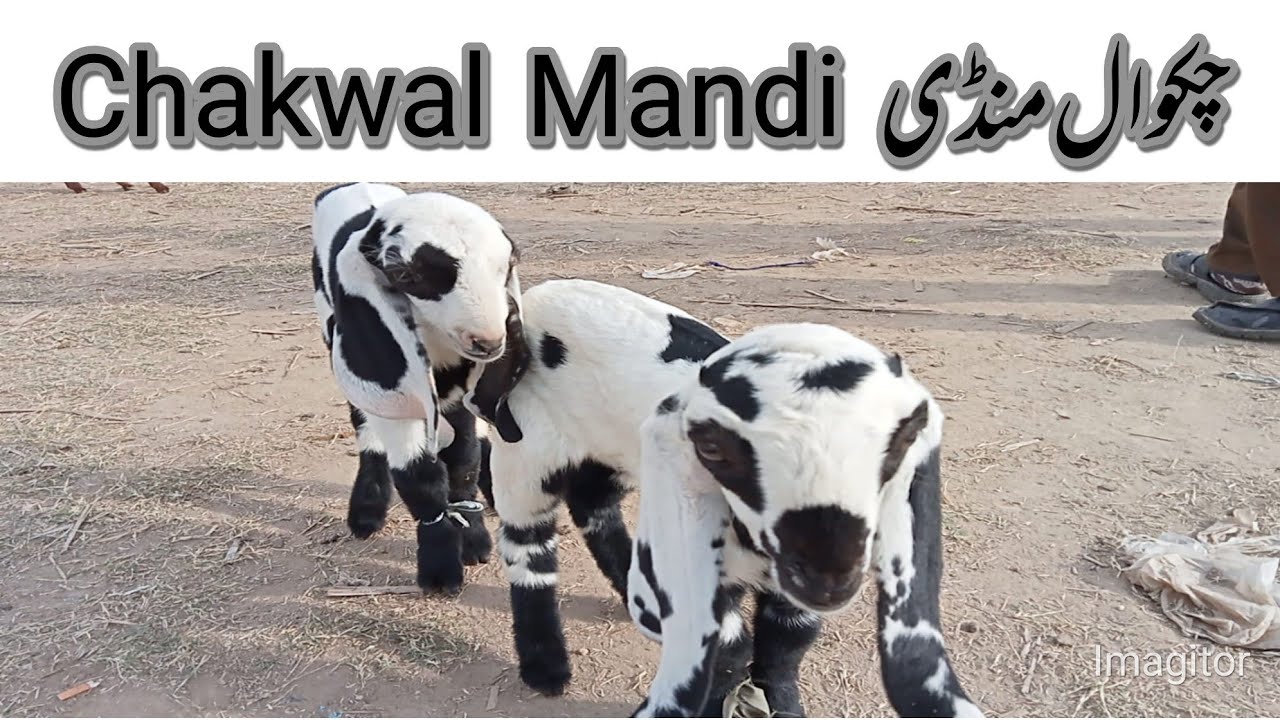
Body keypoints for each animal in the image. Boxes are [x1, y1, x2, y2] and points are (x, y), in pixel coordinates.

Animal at [311, 181, 522, 596]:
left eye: (509, 263)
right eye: (405, 275)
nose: (489, 342)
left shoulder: (460, 390)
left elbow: (464, 461)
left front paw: (474, 539)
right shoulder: (395, 386)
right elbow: (418, 478)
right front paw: (441, 570)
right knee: (364, 423)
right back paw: (367, 509)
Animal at [626, 323, 982, 718]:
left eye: (905, 440)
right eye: (711, 449)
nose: (826, 578)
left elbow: (789, 637)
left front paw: (784, 705)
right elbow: (728, 646)